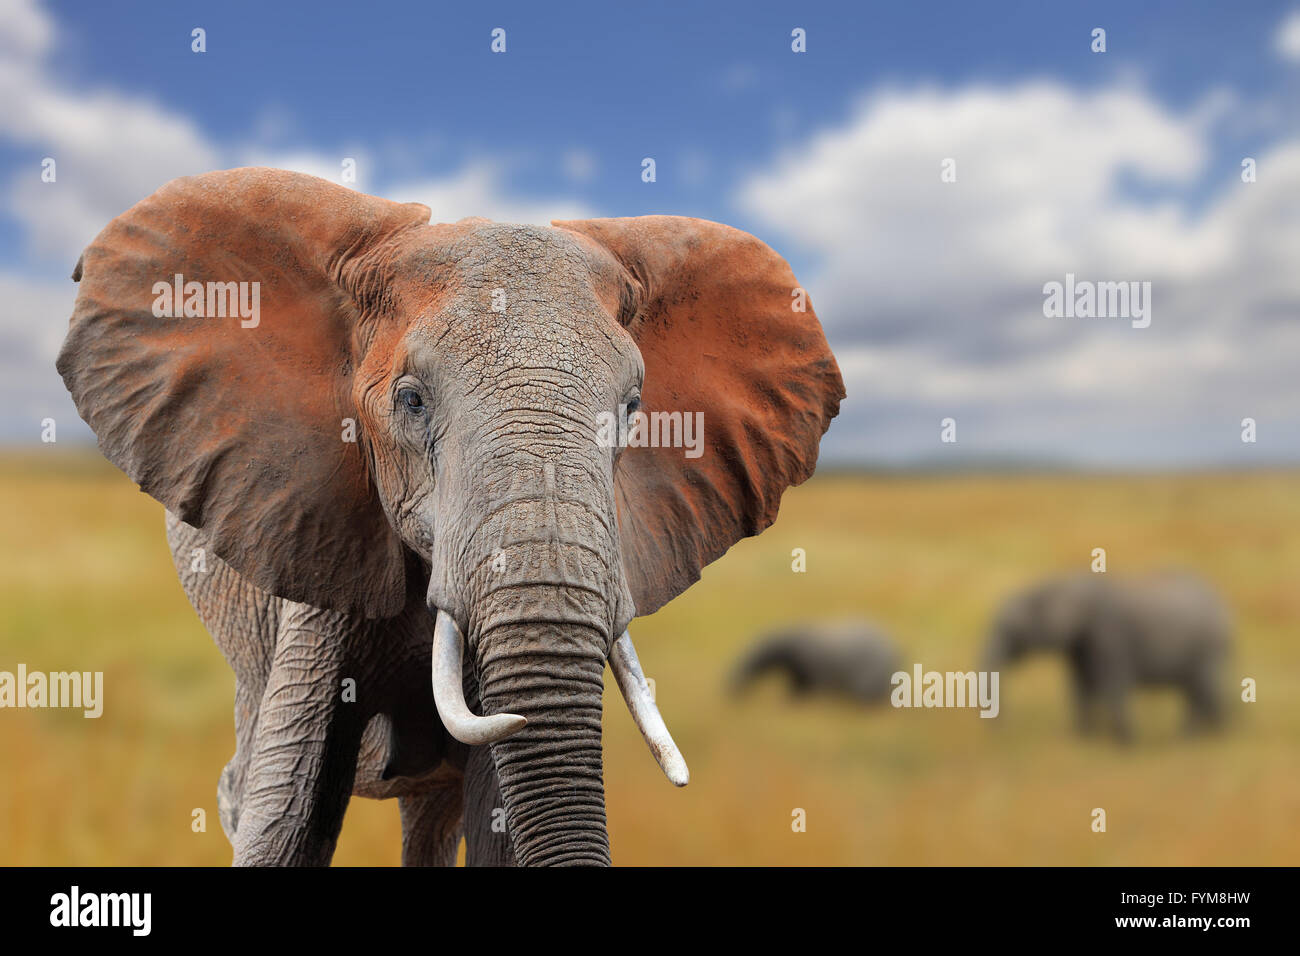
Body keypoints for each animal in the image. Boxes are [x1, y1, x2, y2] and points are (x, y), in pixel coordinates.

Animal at [984, 572, 1231, 741]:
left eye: (1011, 628)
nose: (999, 730)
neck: (1060, 582)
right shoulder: (1079, 647)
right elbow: (1080, 689)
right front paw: (1085, 738)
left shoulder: (1112, 636)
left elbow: (1114, 686)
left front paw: (1126, 744)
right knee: (1196, 692)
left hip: (1208, 648)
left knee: (1205, 691)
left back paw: (1208, 737)